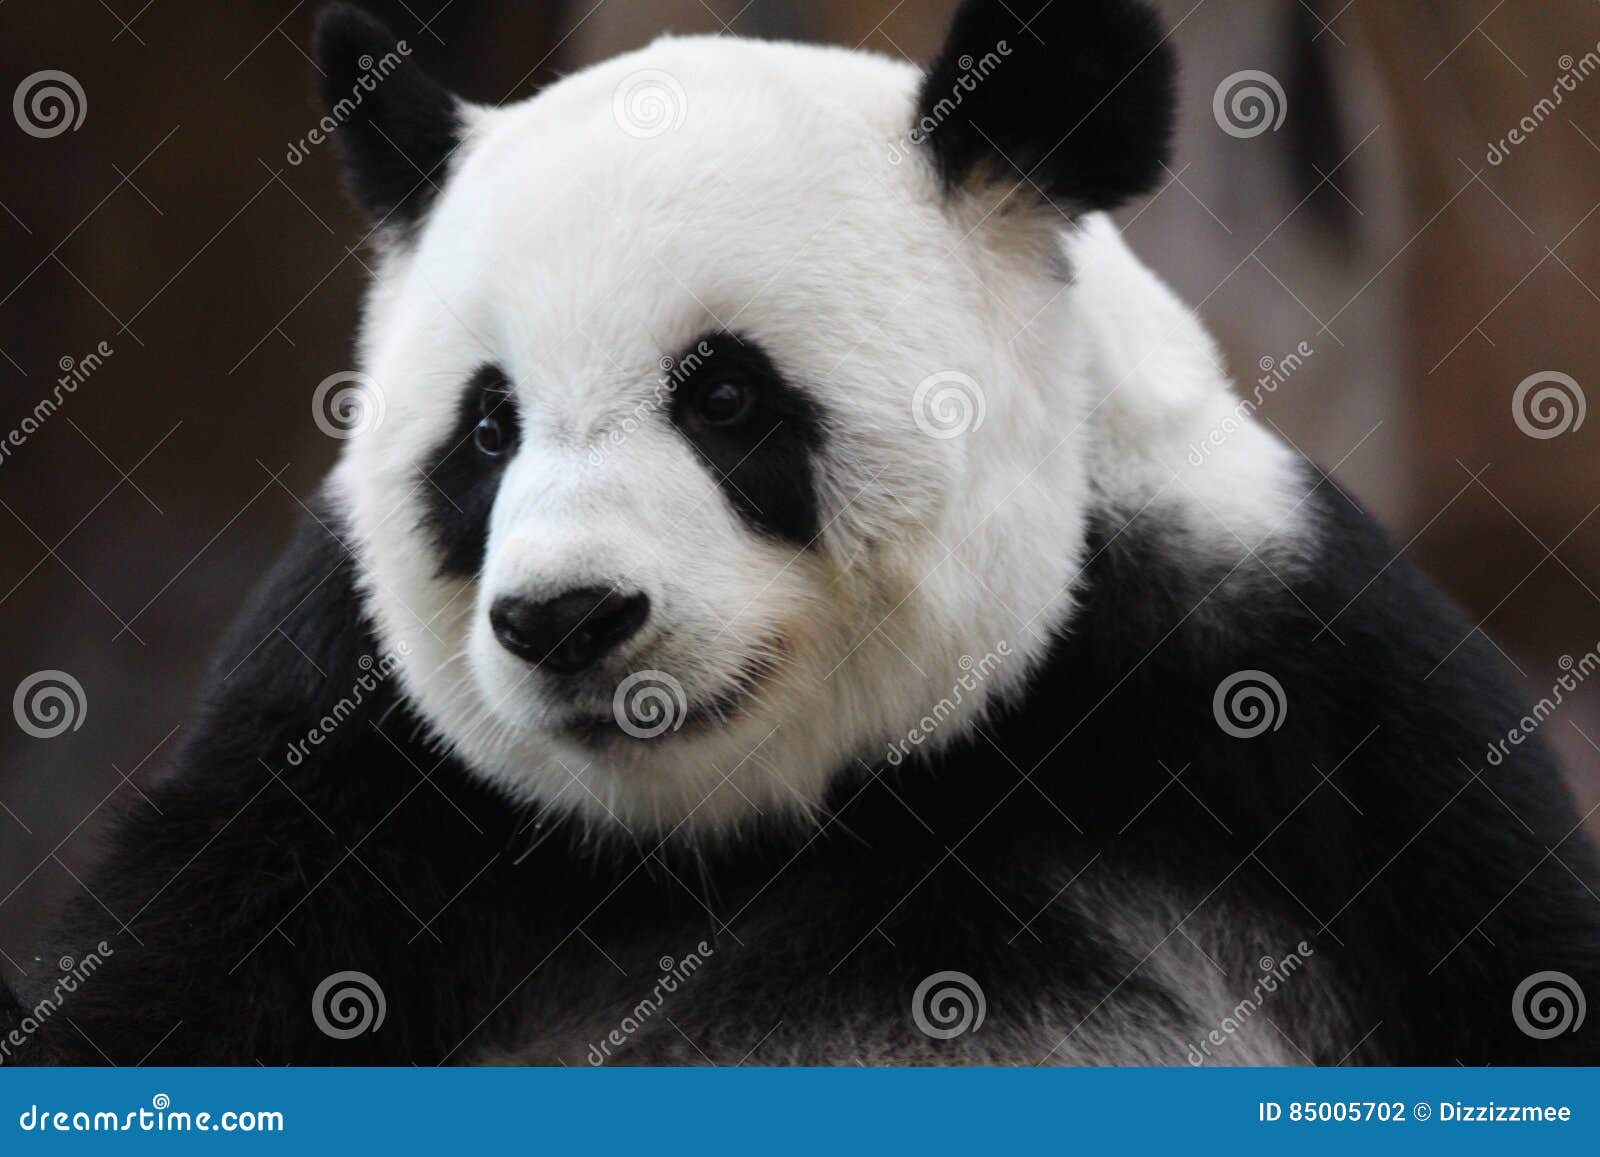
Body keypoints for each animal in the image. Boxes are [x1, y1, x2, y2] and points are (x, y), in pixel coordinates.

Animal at [4, 0, 1598, 1067]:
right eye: (487, 429)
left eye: (724, 395)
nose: (569, 618)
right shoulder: (334, 763)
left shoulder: (1290, 709)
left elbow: (1511, 972)